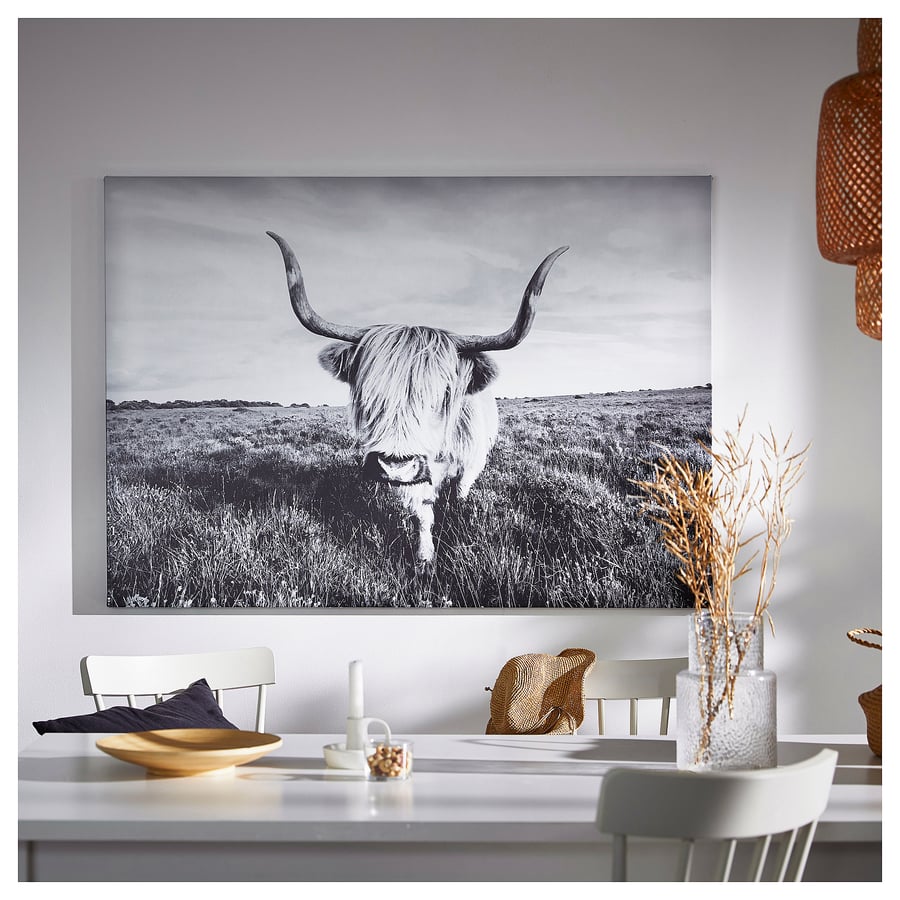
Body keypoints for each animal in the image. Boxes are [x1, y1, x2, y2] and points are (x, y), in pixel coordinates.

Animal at [268, 231, 567, 573]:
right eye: (368, 393)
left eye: (444, 393)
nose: (394, 466)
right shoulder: (415, 480)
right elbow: (421, 513)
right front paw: (424, 559)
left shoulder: (470, 463)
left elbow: (460, 494)